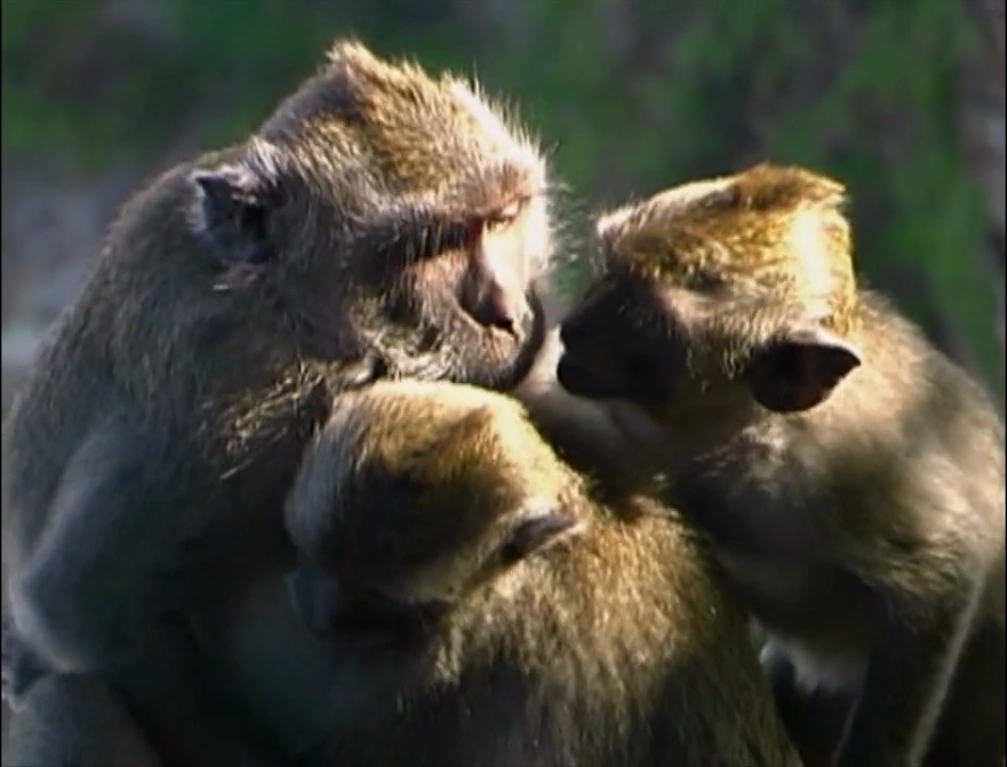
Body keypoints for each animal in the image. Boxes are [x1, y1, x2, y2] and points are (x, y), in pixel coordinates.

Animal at [1, 38, 558, 766]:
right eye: (431, 248)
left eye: (502, 218)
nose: (508, 313)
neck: (300, 313)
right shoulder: (223, 405)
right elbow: (82, 598)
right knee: (69, 702)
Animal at [554, 163, 1007, 767]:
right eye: (606, 272)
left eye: (639, 316)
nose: (572, 327)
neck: (757, 427)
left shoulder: (849, 477)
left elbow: (945, 575)